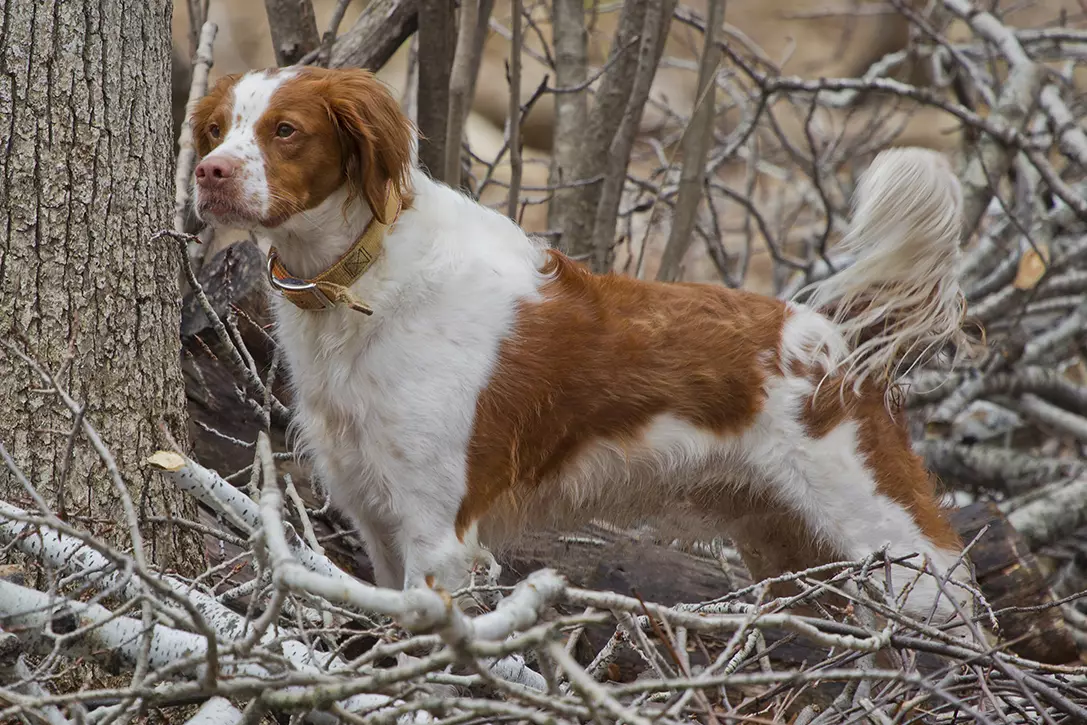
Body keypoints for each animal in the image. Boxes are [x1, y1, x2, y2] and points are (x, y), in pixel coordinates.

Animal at [191, 63, 982, 630]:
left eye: (286, 130)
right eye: (216, 129)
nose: (209, 173)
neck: (361, 279)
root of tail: (838, 345)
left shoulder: (437, 532)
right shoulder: (377, 520)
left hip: (894, 547)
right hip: (794, 554)